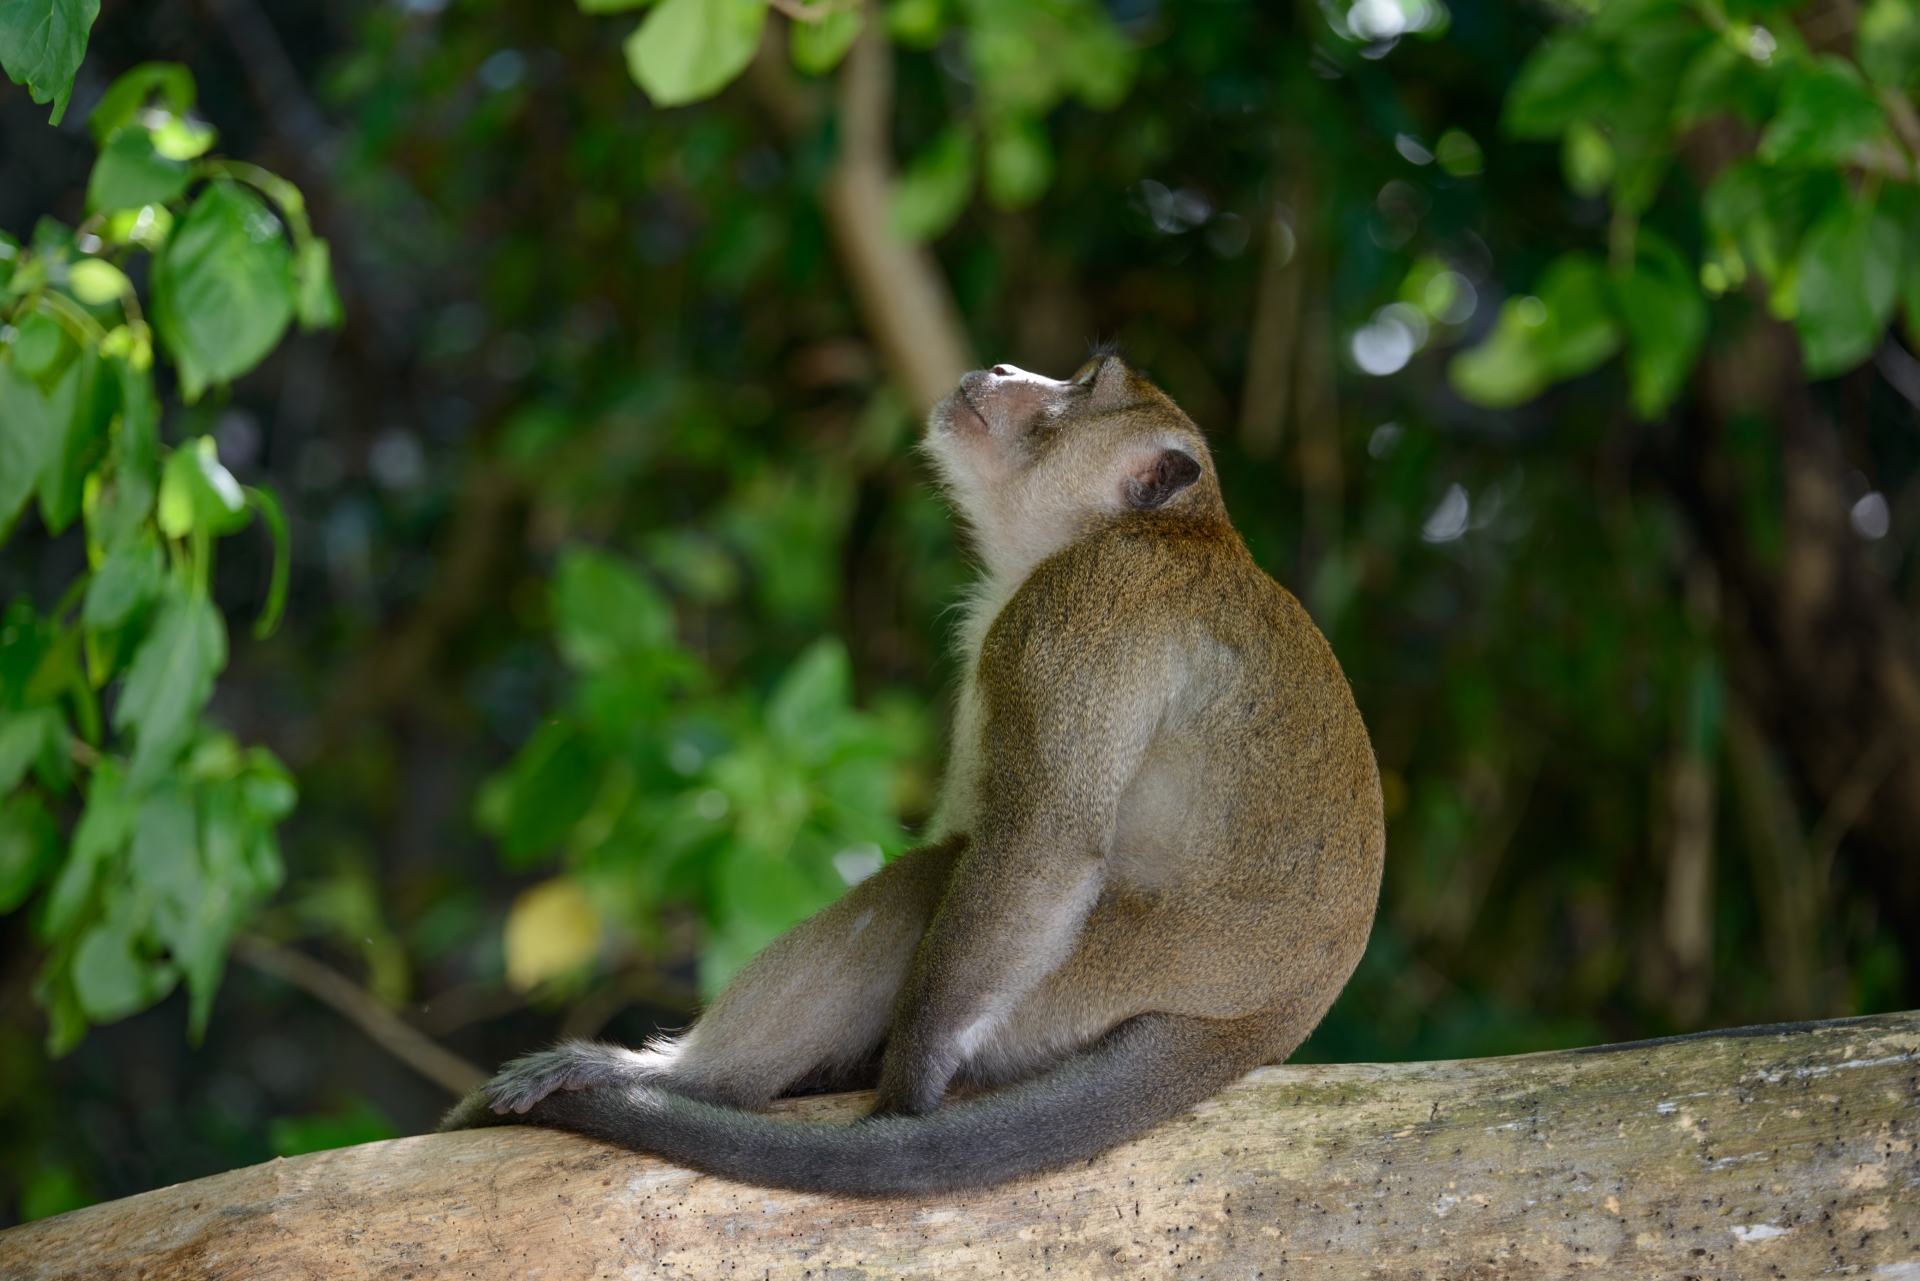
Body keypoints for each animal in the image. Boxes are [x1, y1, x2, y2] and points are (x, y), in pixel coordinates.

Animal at [440, 353, 1385, 1198]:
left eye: (1085, 383)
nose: (1005, 369)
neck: (1149, 528)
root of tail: (1256, 1025)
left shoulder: (1070, 611)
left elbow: (1041, 842)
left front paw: (906, 1093)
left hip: (1082, 986)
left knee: (934, 880)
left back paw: (687, 1082)